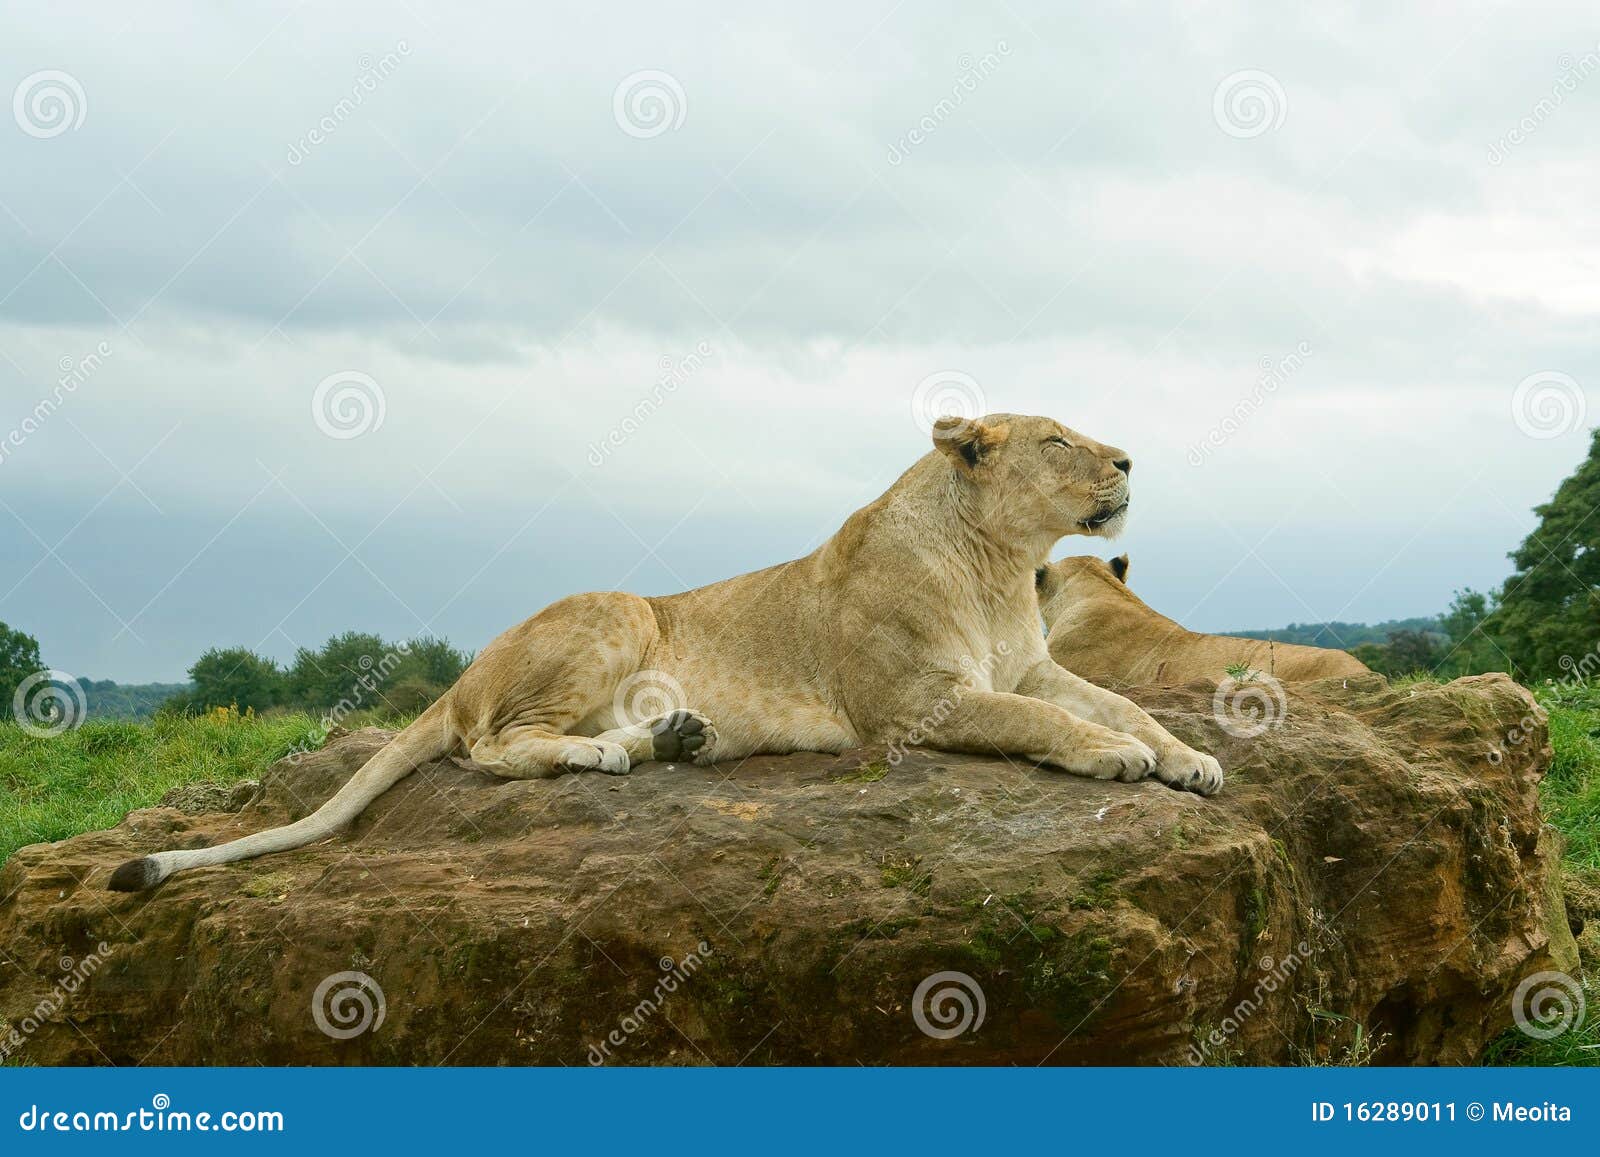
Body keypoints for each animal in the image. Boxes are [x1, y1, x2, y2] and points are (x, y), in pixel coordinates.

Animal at [110, 413, 1223, 892]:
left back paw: (675, 737)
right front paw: (1116, 757)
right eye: (1056, 439)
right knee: (493, 747)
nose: (1130, 458)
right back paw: (606, 751)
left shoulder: (1028, 661)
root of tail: (462, 671)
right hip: (614, 612)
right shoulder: (917, 703)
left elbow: (1116, 700)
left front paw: (1192, 757)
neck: (998, 562)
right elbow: (1043, 718)